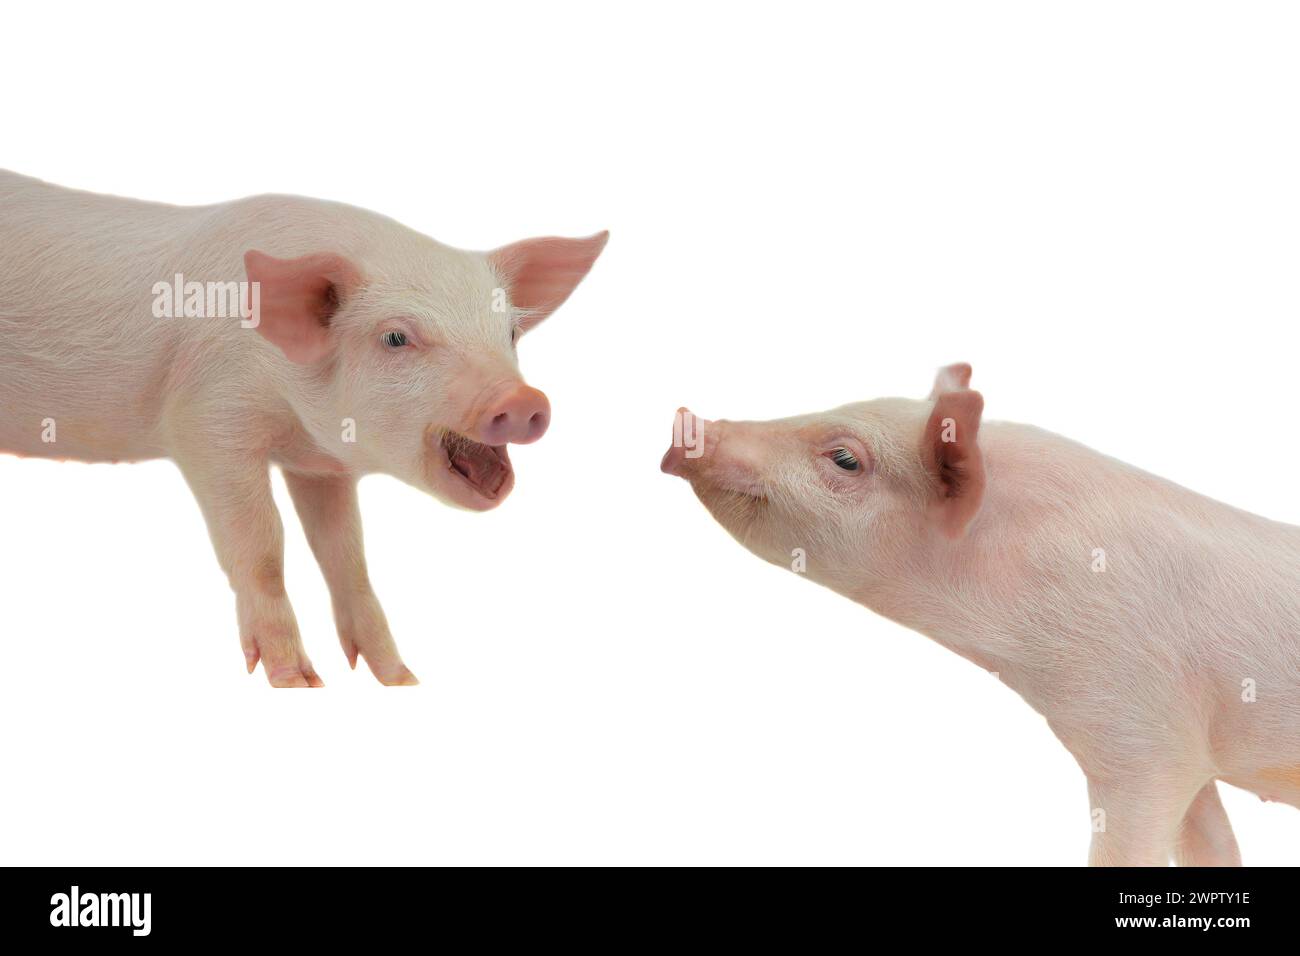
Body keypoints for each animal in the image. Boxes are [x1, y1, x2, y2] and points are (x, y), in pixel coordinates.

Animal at [0, 170, 606, 686]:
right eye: (395, 338)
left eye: (511, 334)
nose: (523, 399)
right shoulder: (206, 417)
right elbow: (262, 543)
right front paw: (299, 681)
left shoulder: (319, 464)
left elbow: (347, 555)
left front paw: (401, 678)